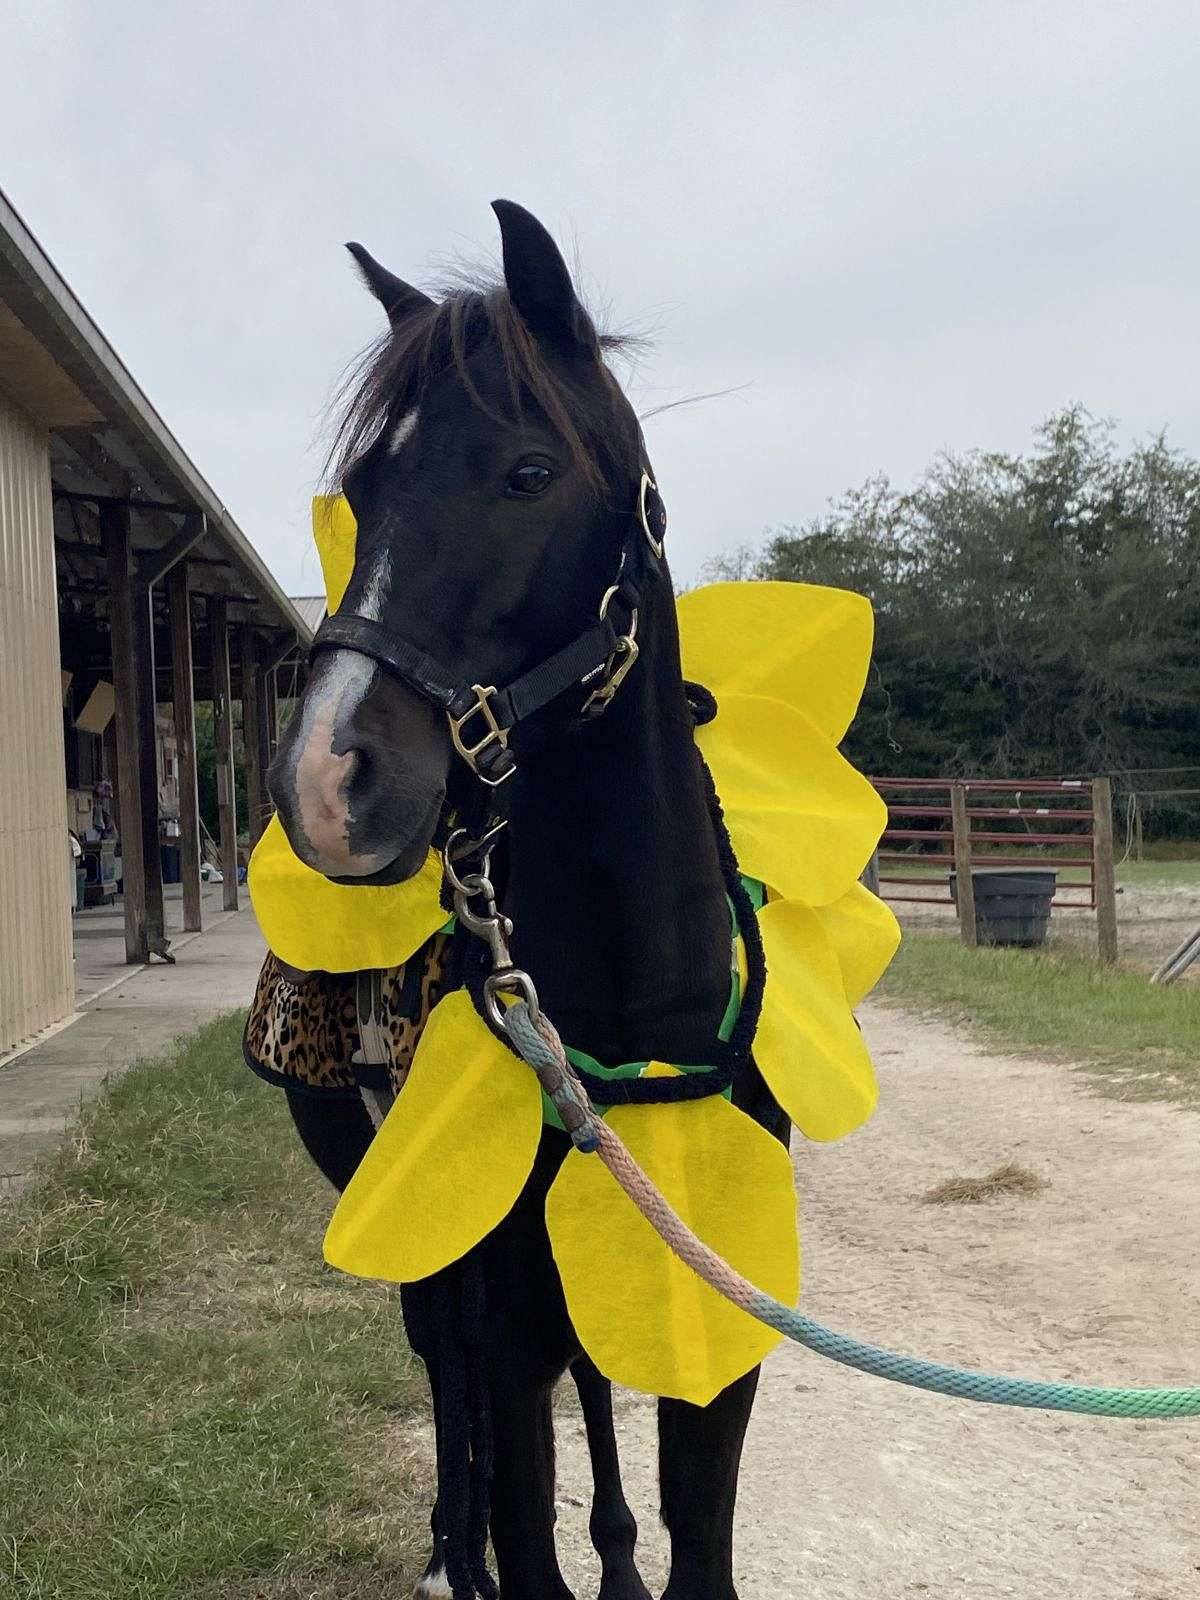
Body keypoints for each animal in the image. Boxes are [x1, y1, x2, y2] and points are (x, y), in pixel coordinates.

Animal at [268, 200, 788, 1600]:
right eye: (364, 493)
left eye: (527, 474)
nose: (328, 780)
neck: (632, 1012)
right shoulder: (500, 1326)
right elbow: (507, 1476)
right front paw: (489, 1551)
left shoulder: (715, 1317)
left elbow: (694, 1538)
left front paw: (627, 1554)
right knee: (439, 1369)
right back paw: (452, 1552)